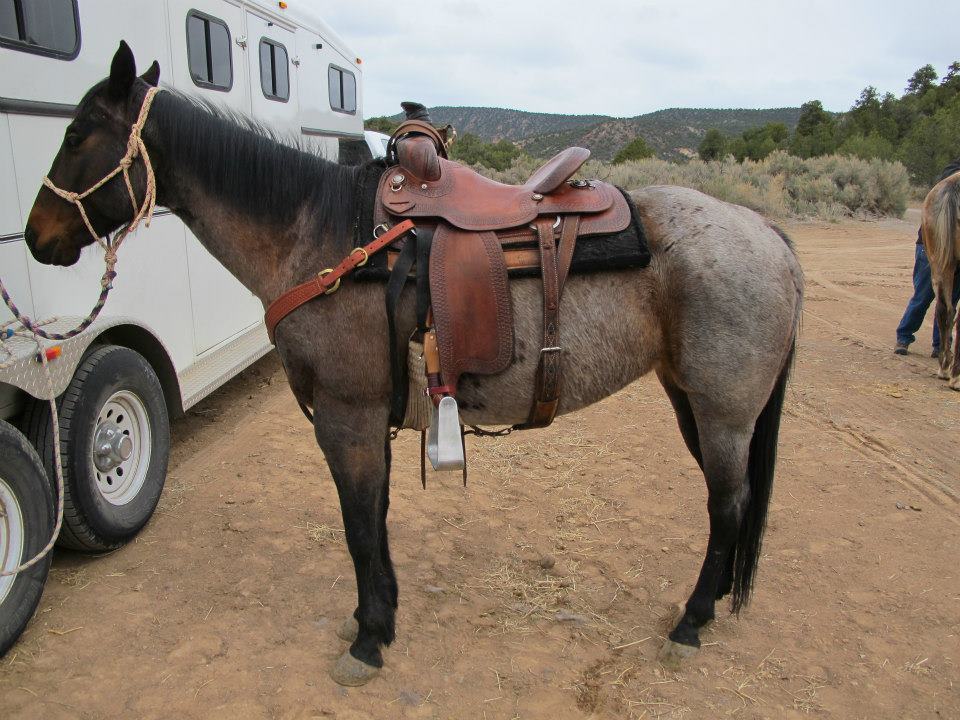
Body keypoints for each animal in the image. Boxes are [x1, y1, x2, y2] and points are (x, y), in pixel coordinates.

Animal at [24, 43, 804, 686]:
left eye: (75, 134)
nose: (35, 236)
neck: (321, 237)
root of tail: (766, 231)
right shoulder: (374, 418)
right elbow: (375, 518)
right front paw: (382, 615)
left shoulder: (346, 417)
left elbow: (357, 523)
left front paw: (369, 640)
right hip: (691, 401)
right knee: (731, 503)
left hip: (724, 412)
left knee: (726, 505)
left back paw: (690, 623)